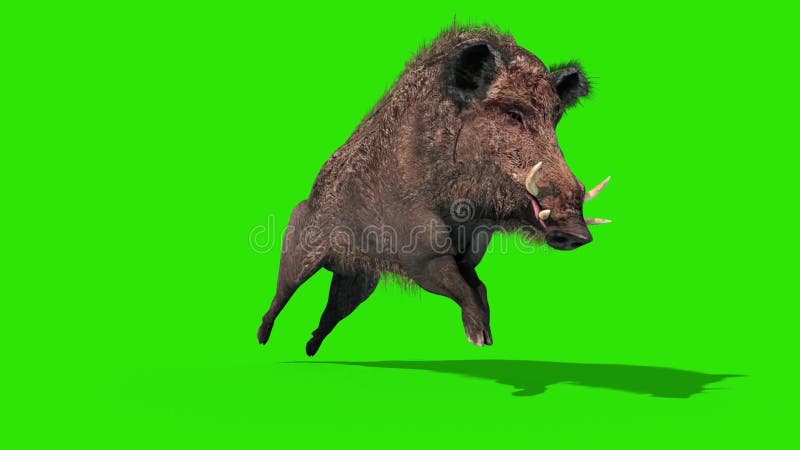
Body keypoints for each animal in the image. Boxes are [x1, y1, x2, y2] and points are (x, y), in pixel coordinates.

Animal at [257, 25, 611, 355]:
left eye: (556, 119)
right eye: (513, 114)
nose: (578, 234)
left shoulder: (468, 255)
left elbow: (480, 287)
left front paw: (488, 340)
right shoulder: (422, 255)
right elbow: (463, 289)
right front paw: (479, 340)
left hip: (360, 277)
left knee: (335, 309)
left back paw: (310, 348)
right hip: (299, 250)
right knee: (282, 291)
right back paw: (262, 338)